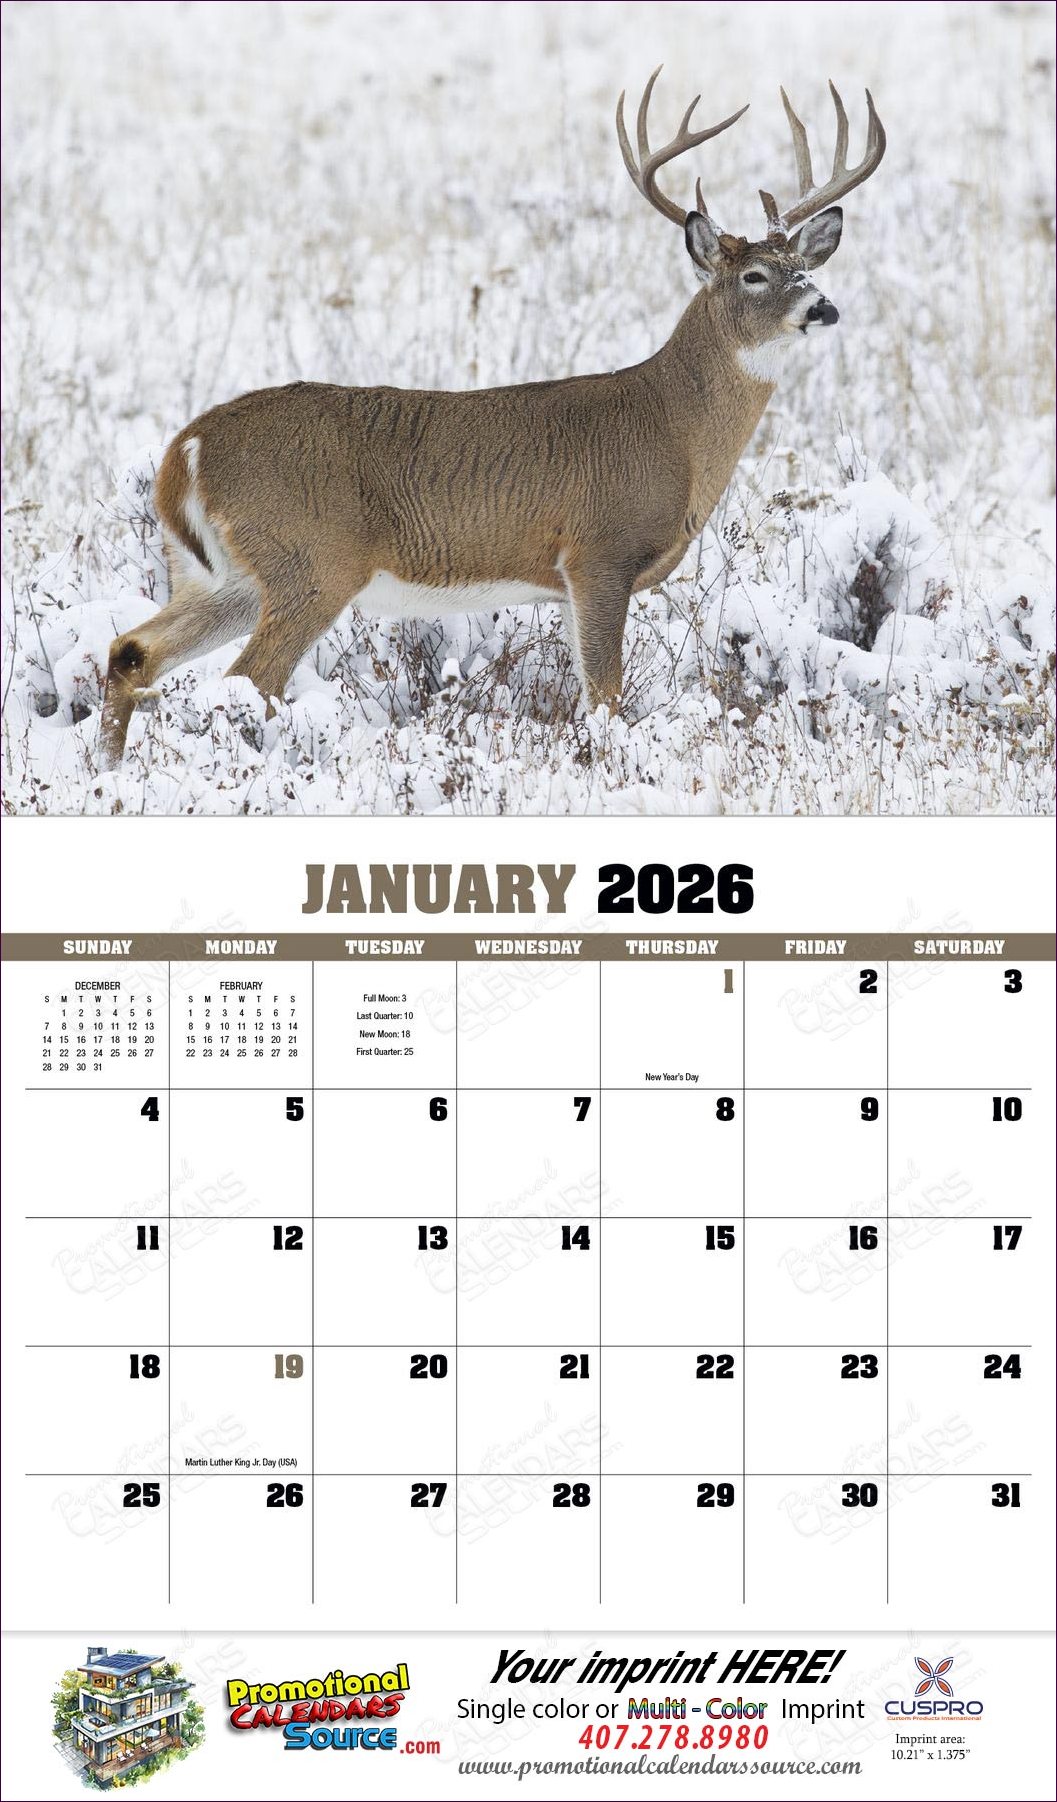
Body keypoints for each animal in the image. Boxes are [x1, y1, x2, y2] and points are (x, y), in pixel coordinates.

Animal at [99, 71, 885, 767]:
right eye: (753, 275)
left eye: (805, 267)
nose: (823, 306)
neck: (673, 429)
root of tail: (187, 449)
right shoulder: (598, 551)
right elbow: (605, 698)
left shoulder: (568, 581)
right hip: (311, 560)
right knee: (245, 680)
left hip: (219, 576)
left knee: (131, 650)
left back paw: (108, 769)